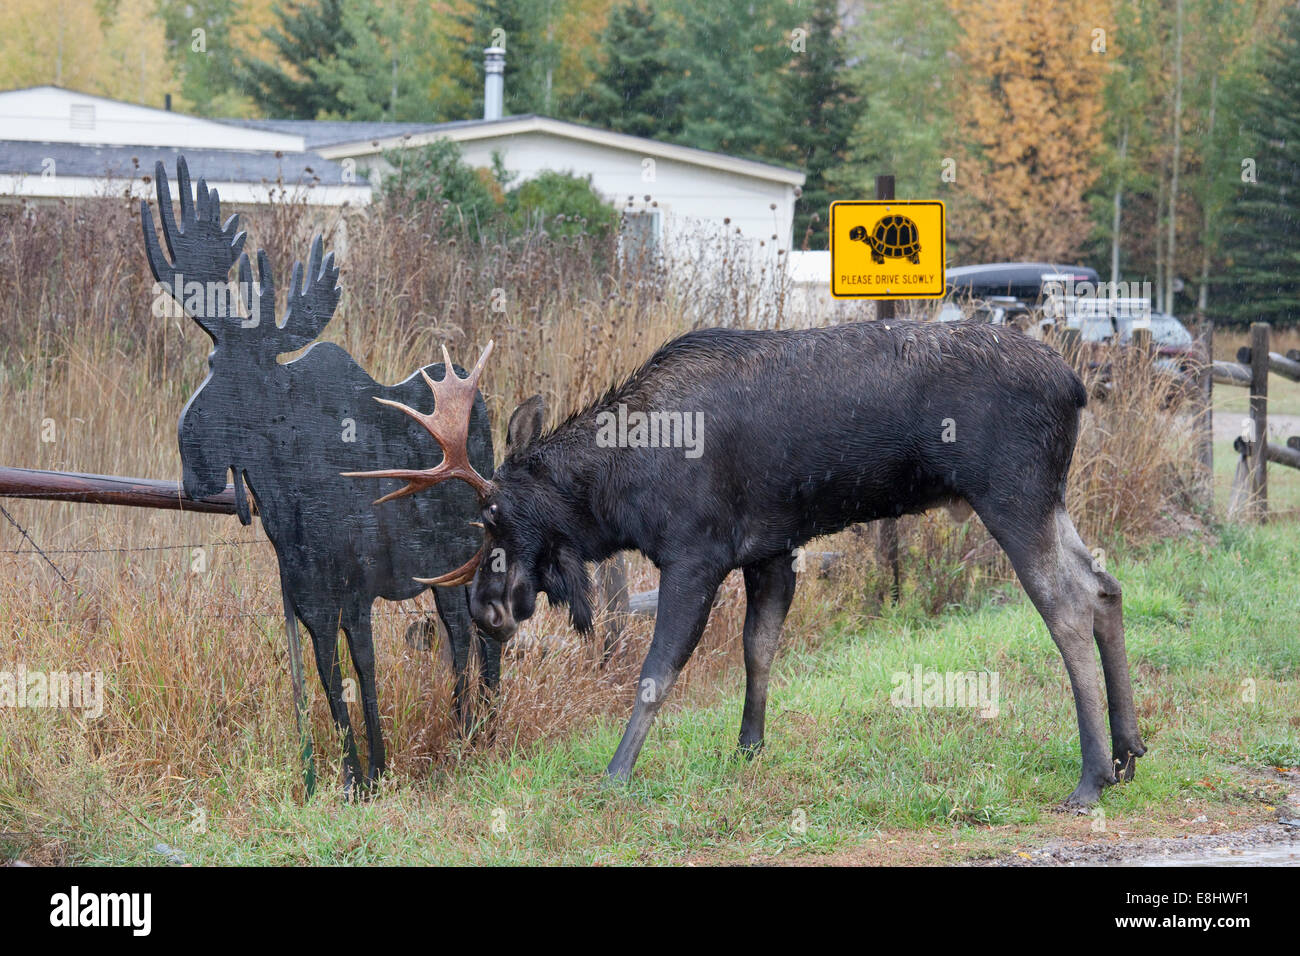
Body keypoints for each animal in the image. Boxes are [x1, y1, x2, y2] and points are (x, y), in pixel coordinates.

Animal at [141, 156, 498, 792]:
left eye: (255, 376)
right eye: (211, 359)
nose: (193, 460)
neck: (287, 501)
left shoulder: (355, 591)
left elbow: (366, 672)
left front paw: (379, 771)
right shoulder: (308, 597)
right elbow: (329, 682)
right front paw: (352, 777)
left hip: (476, 557)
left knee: (484, 637)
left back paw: (483, 731)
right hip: (446, 574)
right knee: (463, 635)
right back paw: (468, 731)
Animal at [354, 320, 1148, 808]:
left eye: (491, 520)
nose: (486, 612)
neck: (616, 493)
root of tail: (1077, 387)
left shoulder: (694, 553)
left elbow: (655, 673)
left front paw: (616, 772)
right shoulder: (771, 549)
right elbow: (758, 650)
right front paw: (748, 750)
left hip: (1010, 493)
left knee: (1068, 607)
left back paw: (1089, 776)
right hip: (1047, 498)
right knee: (1105, 586)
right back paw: (1129, 750)